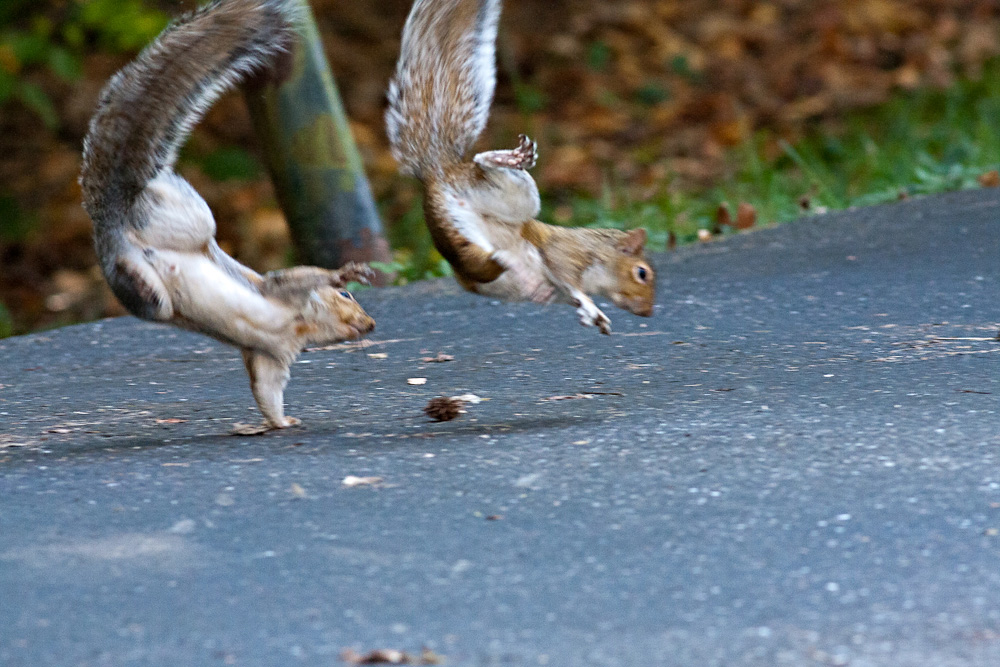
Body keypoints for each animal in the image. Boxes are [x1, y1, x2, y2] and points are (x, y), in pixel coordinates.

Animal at [79, 0, 375, 430]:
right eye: (346, 296)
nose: (371, 325)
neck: (304, 325)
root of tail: (112, 223)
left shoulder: (269, 357)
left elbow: (267, 393)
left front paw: (279, 423)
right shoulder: (279, 291)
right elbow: (295, 278)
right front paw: (343, 271)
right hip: (180, 225)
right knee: (150, 269)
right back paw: (140, 271)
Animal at [385, 0, 655, 335]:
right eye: (642, 273)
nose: (648, 312)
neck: (600, 257)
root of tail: (440, 173)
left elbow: (570, 294)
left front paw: (589, 314)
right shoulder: (567, 252)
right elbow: (566, 274)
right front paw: (591, 305)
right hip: (466, 216)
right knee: (480, 227)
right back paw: (510, 166)